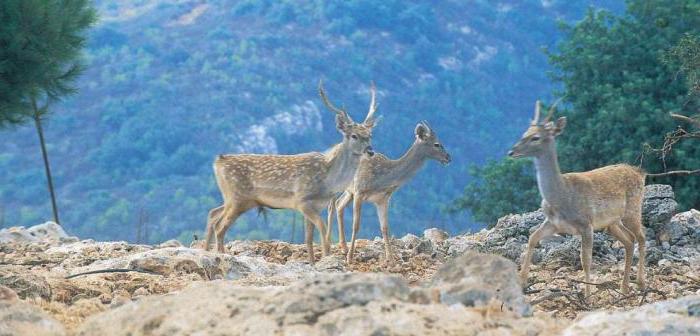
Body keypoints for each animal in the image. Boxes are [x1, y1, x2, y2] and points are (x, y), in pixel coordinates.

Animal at [202, 80, 380, 264]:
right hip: (238, 197)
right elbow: (322, 230)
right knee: (219, 227)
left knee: (213, 213)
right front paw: (326, 257)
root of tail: (218, 161)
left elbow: (308, 238)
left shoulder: (315, 206)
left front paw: (313, 263)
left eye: (370, 135)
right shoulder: (302, 201)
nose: (370, 151)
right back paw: (221, 256)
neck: (328, 182)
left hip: (236, 199)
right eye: (354, 135)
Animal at [326, 122, 452, 264]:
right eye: (437, 144)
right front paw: (350, 258)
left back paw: (343, 247)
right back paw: (329, 245)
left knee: (339, 204)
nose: (448, 157)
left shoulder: (382, 199)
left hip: (349, 192)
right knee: (331, 206)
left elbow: (385, 227)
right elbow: (356, 225)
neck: (382, 178)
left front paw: (391, 259)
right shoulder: (359, 191)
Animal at [506, 101, 648, 296]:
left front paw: (587, 295)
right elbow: (532, 238)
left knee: (641, 237)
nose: (511, 151)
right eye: (524, 133)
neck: (561, 196)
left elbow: (585, 260)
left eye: (535, 137)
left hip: (633, 209)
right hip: (611, 223)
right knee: (629, 241)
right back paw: (624, 286)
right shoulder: (553, 223)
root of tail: (640, 172)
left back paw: (640, 282)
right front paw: (522, 281)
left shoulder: (586, 224)